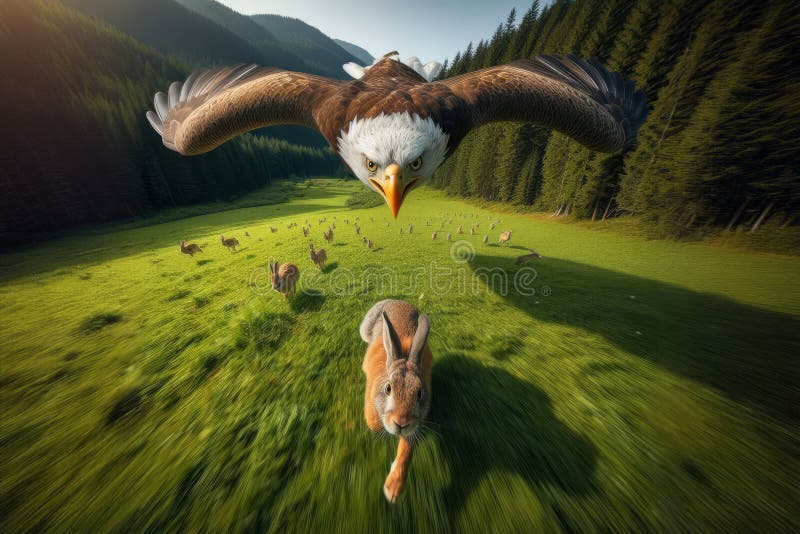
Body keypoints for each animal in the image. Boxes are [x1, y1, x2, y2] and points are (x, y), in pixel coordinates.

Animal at [360, 300, 432, 503]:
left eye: (420, 393)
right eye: (388, 388)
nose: (401, 423)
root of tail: (395, 300)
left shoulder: (415, 425)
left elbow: (406, 452)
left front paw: (393, 490)